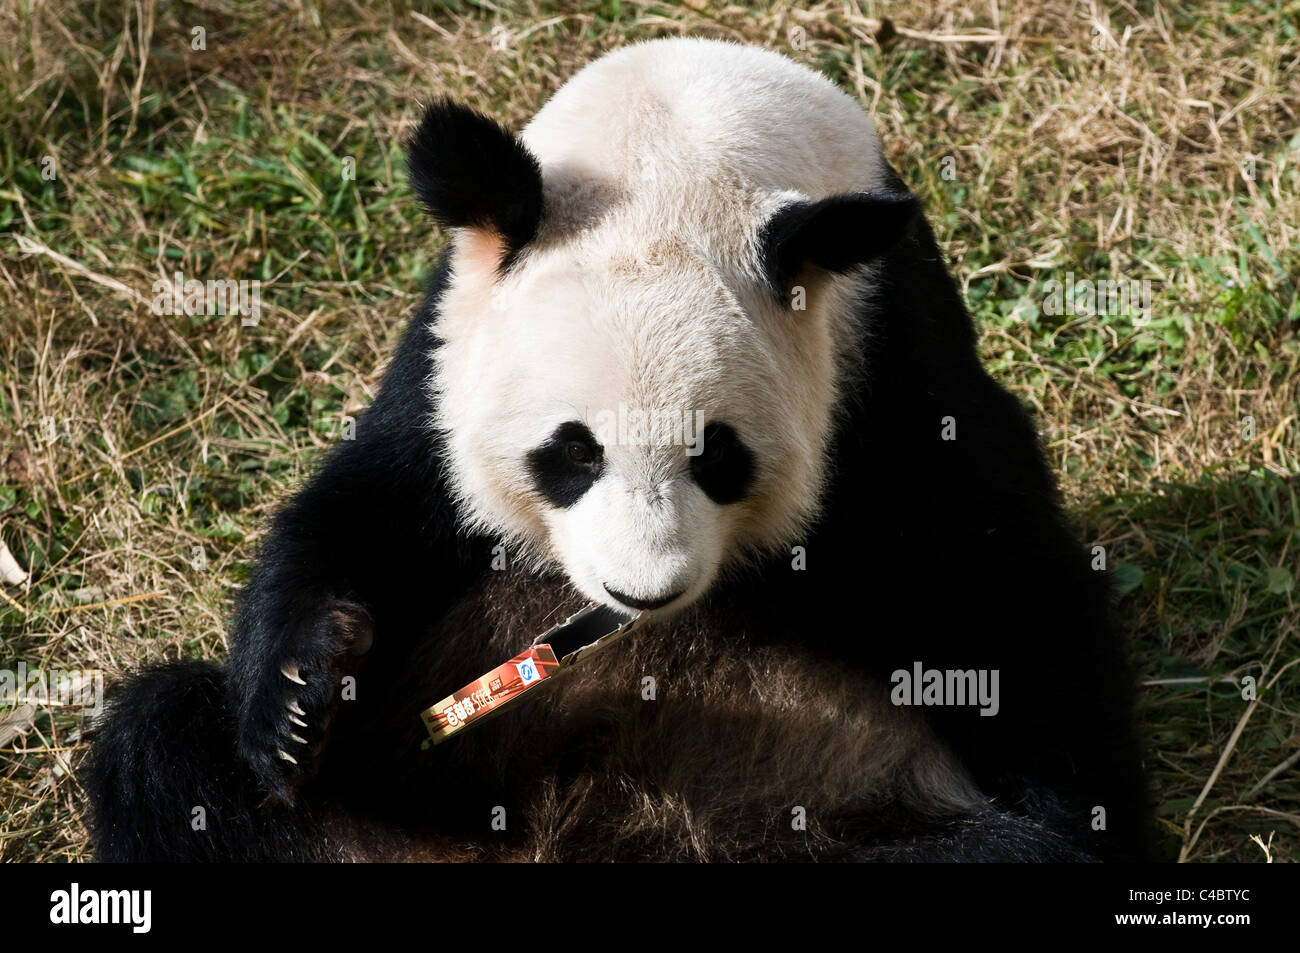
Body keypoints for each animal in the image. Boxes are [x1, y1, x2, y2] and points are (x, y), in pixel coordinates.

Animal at [86, 37, 1150, 862]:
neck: (674, 150)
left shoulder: (885, 354)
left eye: (718, 457)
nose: (641, 594)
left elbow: (1010, 590)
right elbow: (364, 506)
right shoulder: (450, 343)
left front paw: (1086, 812)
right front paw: (309, 691)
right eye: (571, 452)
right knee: (167, 750)